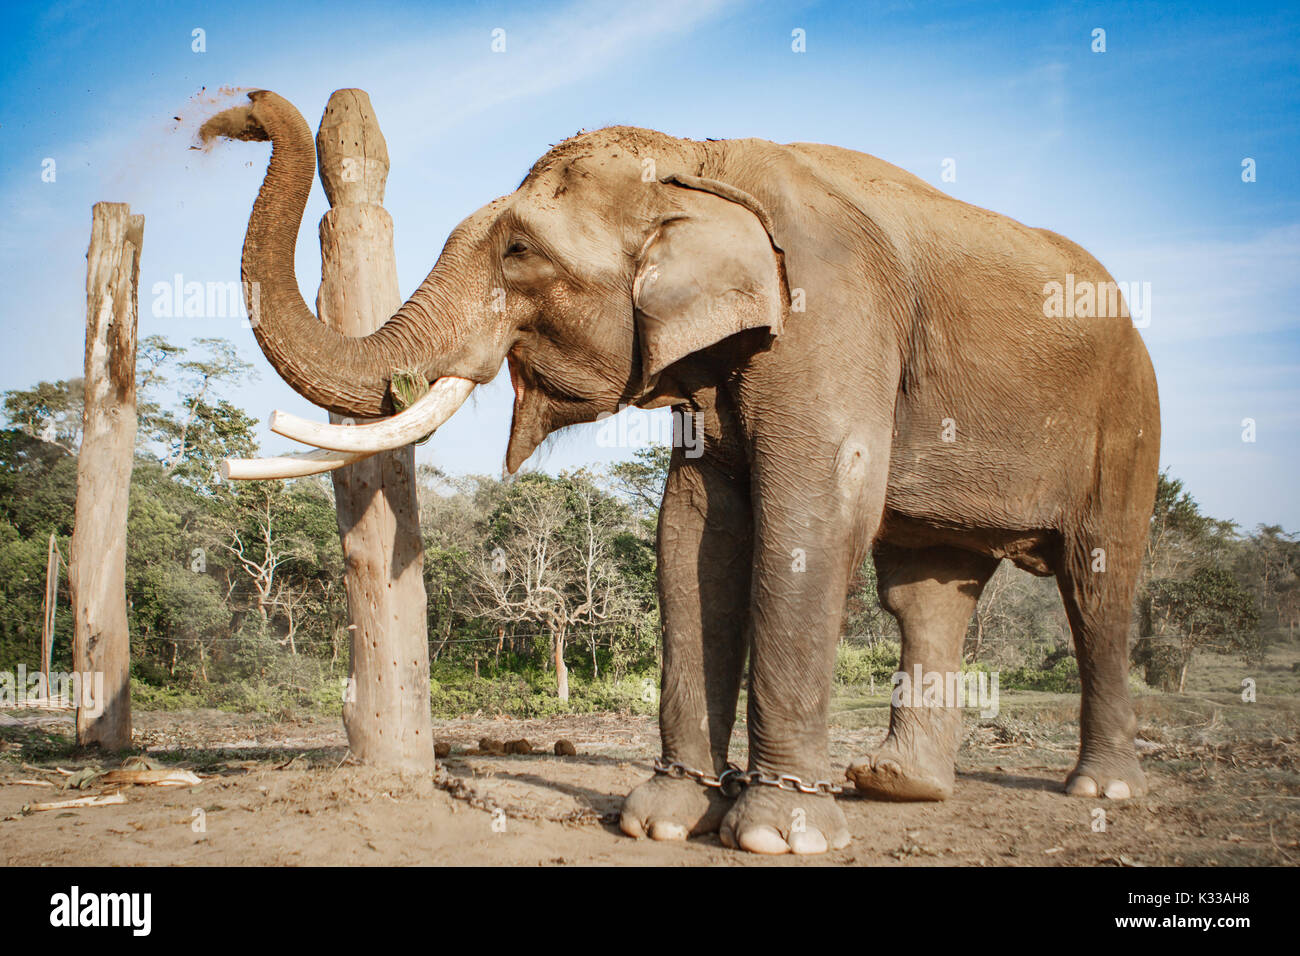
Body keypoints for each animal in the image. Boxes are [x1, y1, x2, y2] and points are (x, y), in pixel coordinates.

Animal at [208, 90, 1160, 855]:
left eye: (517, 253)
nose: (235, 115)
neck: (699, 159)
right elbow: (694, 527)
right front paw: (661, 820)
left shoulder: (831, 312)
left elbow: (813, 514)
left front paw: (779, 835)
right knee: (926, 590)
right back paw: (896, 785)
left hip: (1129, 415)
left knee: (1096, 582)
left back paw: (1101, 788)